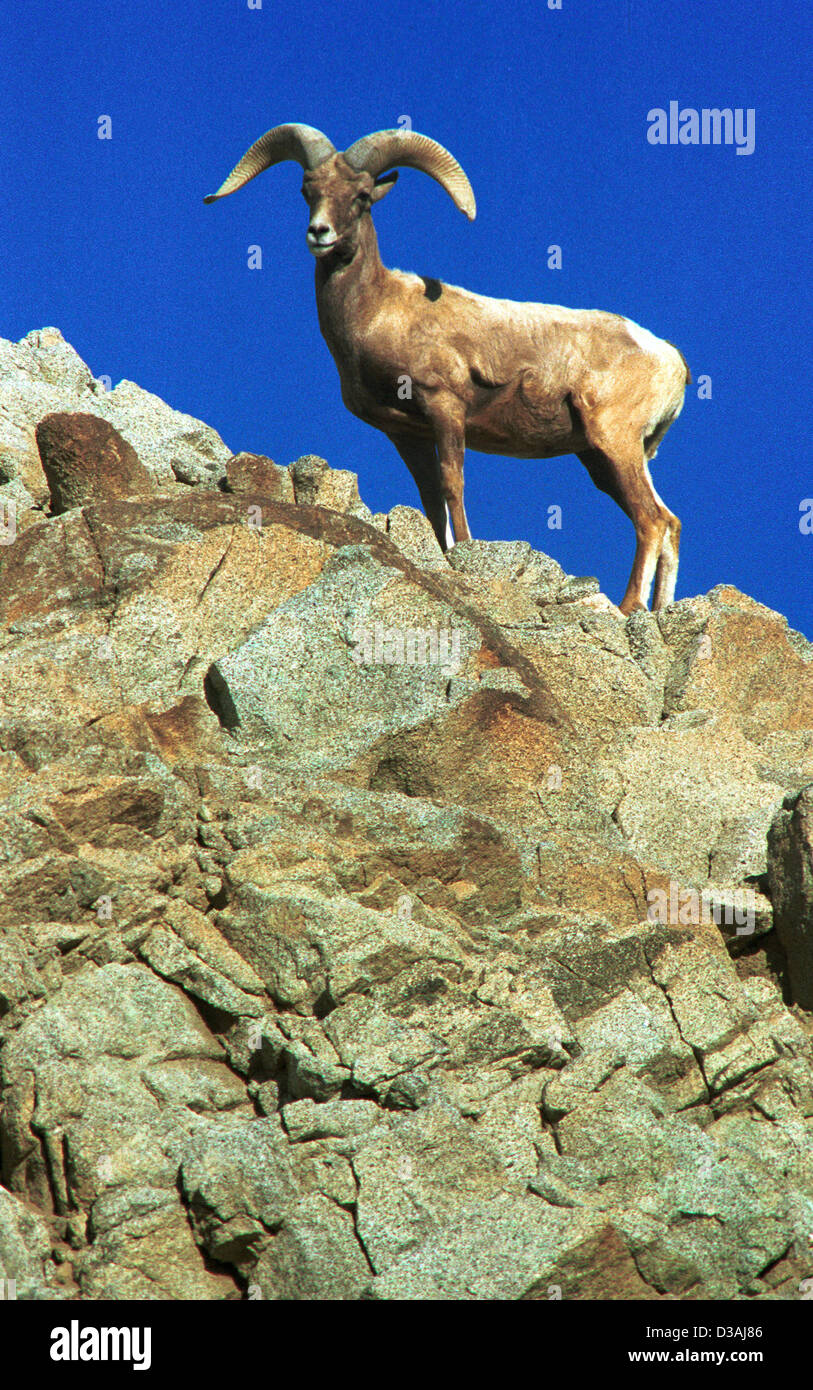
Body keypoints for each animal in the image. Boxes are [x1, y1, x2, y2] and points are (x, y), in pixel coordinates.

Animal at [205, 124, 690, 613]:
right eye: (308, 190)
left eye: (362, 196)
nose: (319, 233)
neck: (378, 314)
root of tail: (672, 360)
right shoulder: (407, 434)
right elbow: (431, 501)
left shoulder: (445, 409)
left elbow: (453, 485)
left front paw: (464, 553)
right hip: (601, 458)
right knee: (670, 523)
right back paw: (660, 610)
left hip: (614, 441)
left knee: (650, 520)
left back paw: (630, 608)